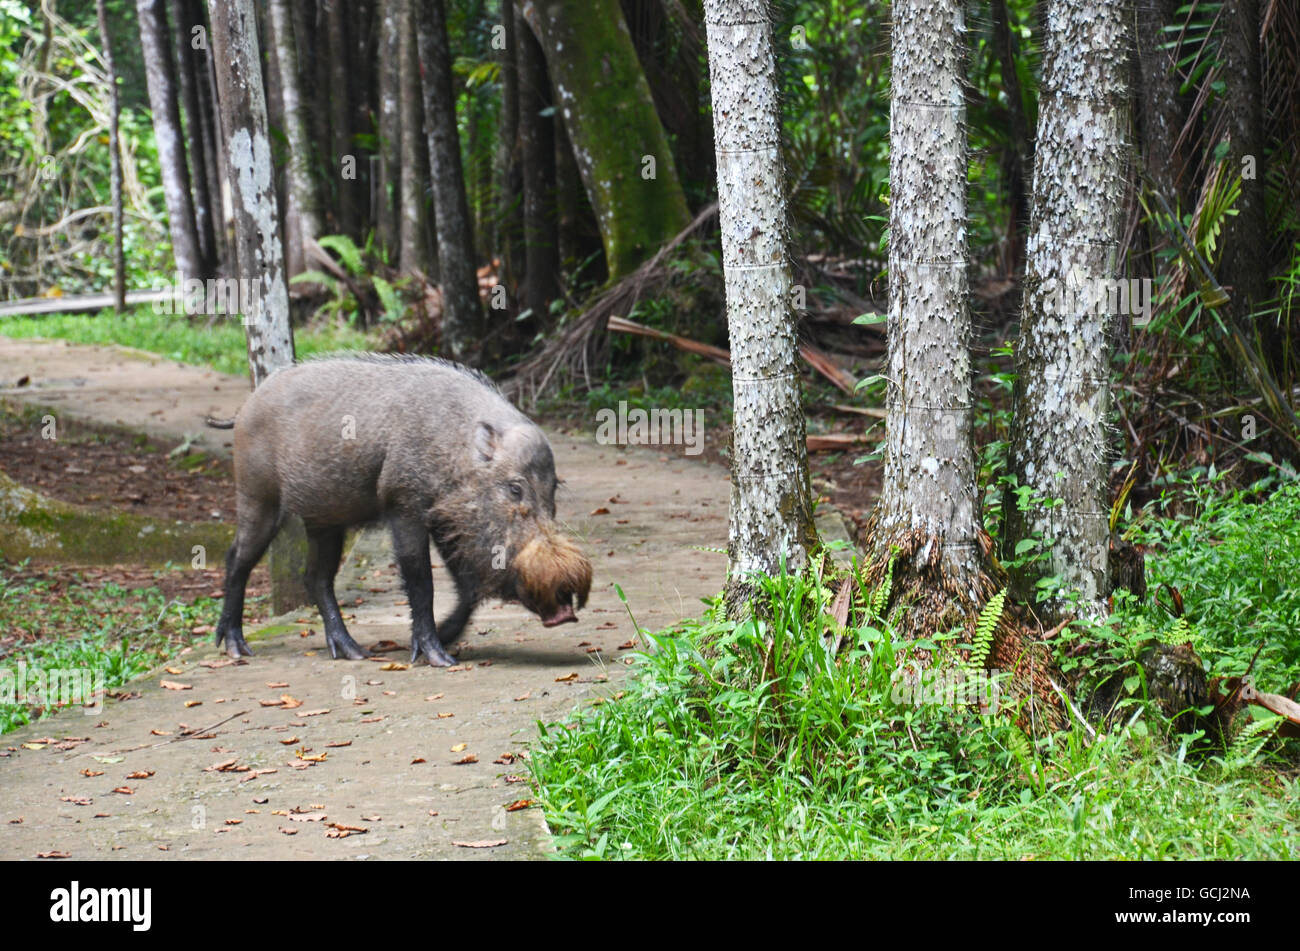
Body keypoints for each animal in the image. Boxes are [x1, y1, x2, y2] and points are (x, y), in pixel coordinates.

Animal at [211, 354, 592, 666]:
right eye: (515, 488)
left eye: (554, 489)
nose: (566, 611)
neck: (455, 453)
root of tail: (244, 407)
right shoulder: (403, 503)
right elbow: (421, 580)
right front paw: (439, 659)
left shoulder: (444, 519)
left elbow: (466, 586)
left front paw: (445, 638)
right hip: (258, 497)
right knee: (237, 559)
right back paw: (237, 648)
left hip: (325, 520)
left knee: (315, 577)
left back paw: (353, 652)